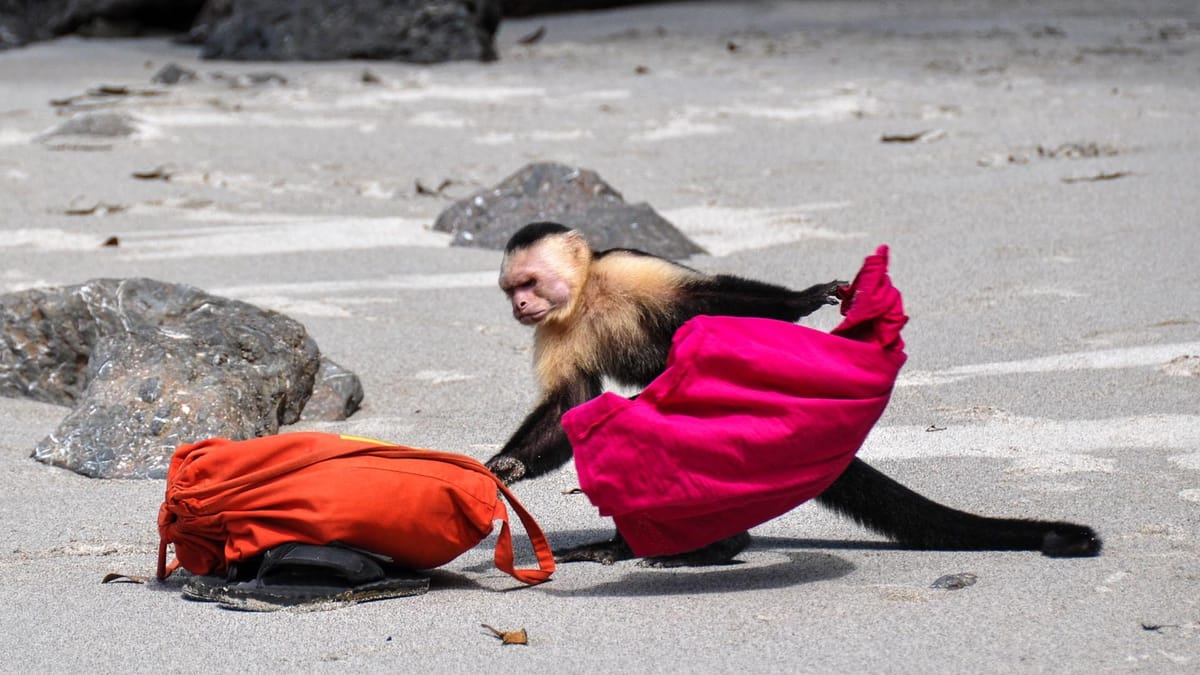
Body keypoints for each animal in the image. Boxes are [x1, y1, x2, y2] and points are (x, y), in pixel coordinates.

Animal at [485, 222, 1102, 566]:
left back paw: (710, 547)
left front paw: (803, 299)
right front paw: (507, 466)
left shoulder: (627, 269)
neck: (586, 295)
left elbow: (710, 300)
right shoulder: (553, 329)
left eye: (528, 283)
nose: (519, 306)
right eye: (511, 290)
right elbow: (569, 404)